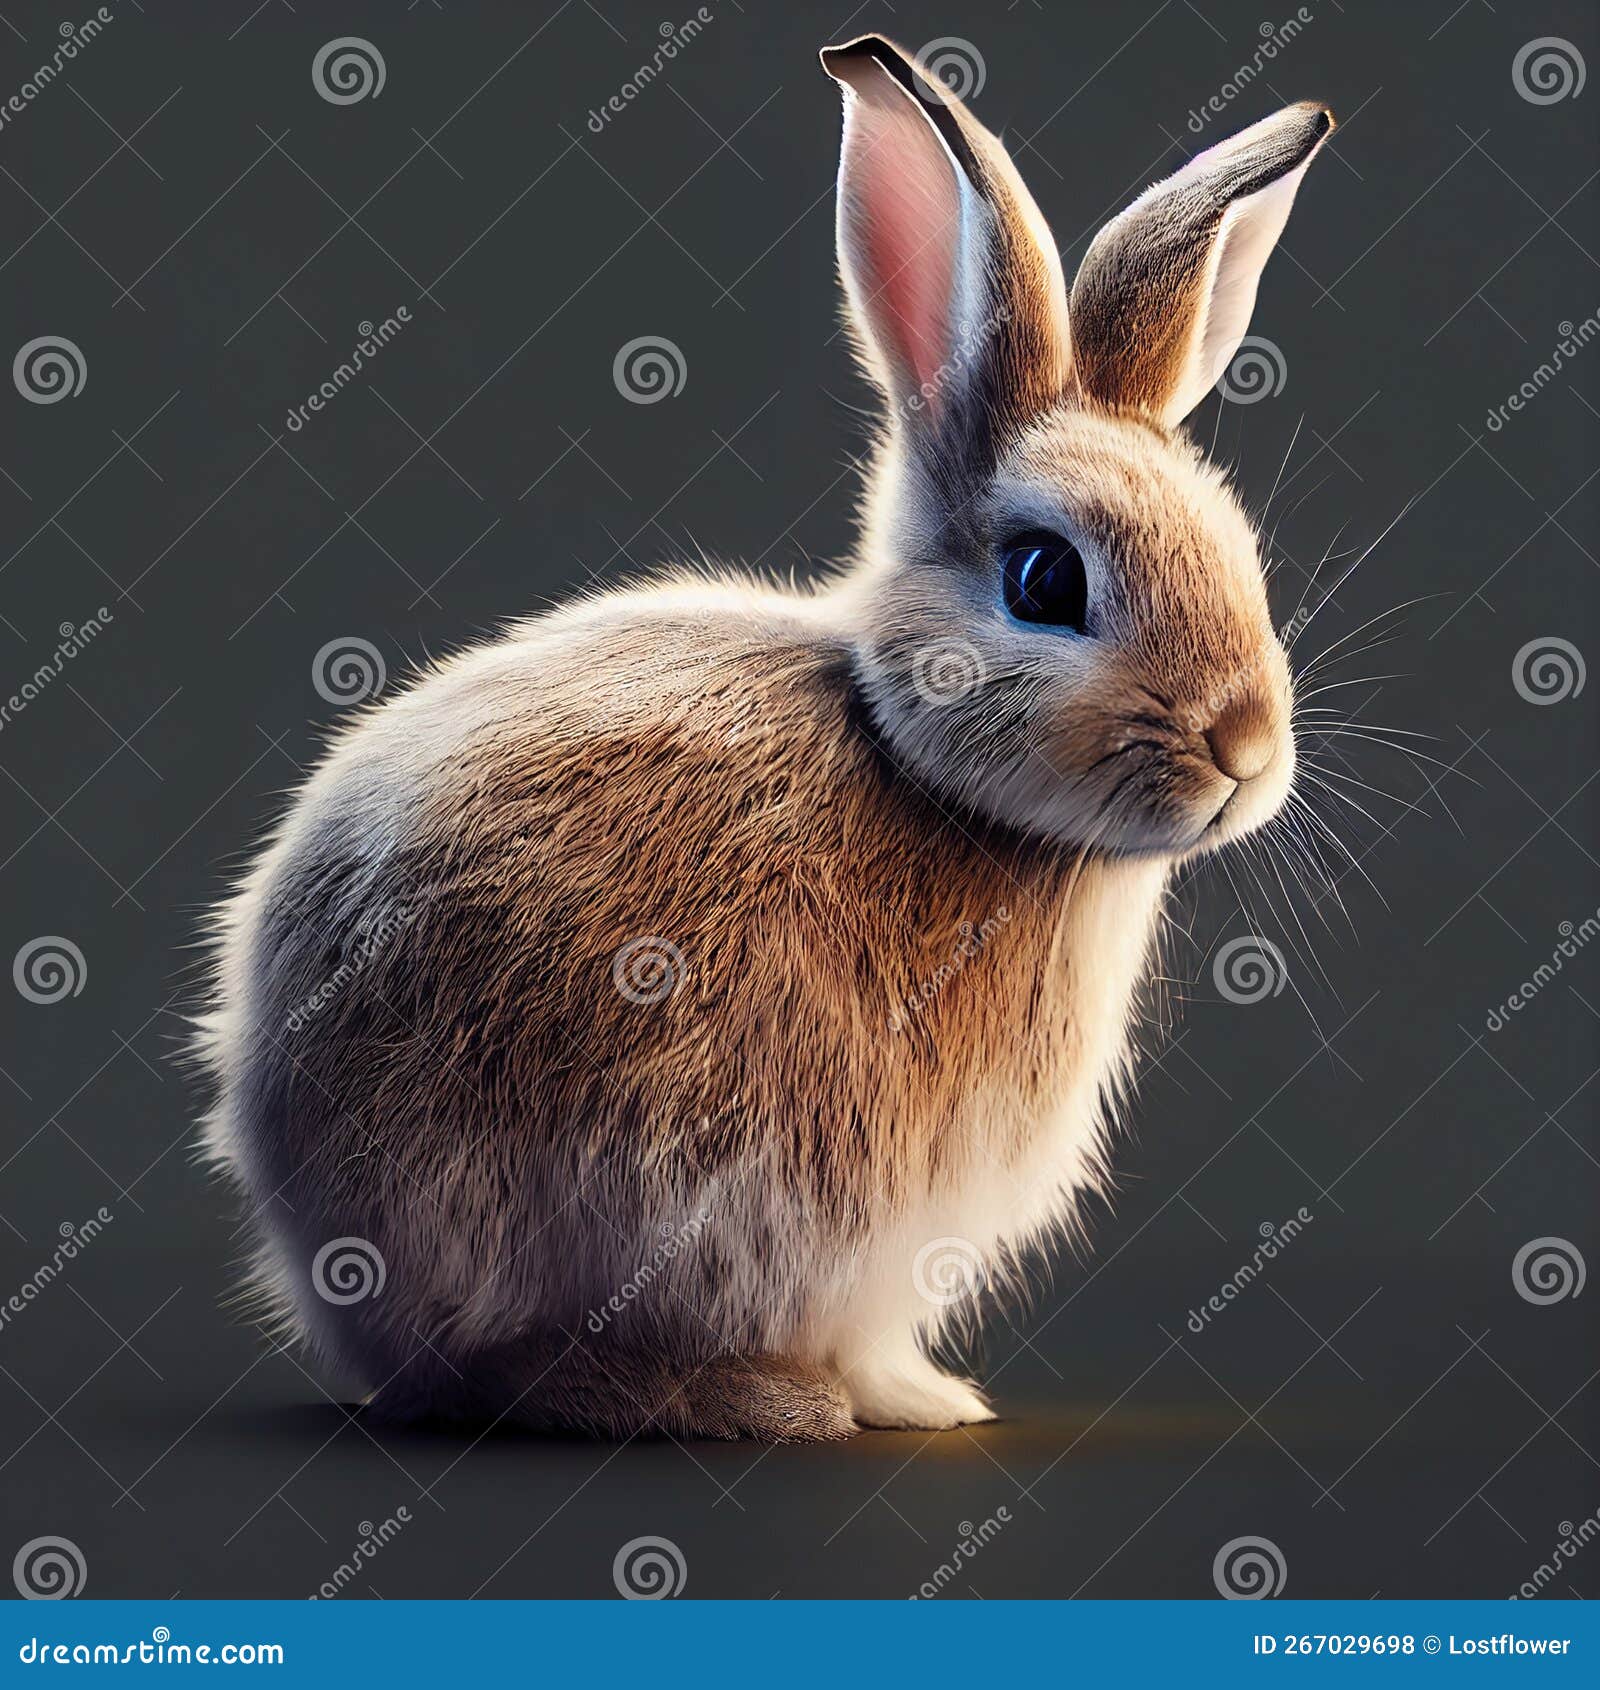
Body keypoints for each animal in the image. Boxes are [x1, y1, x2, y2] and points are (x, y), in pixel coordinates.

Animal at [194, 35, 1334, 1441]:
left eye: (1238, 554)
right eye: (1045, 580)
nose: (1247, 748)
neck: (929, 775)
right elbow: (870, 1337)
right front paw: (927, 1402)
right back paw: (749, 1399)